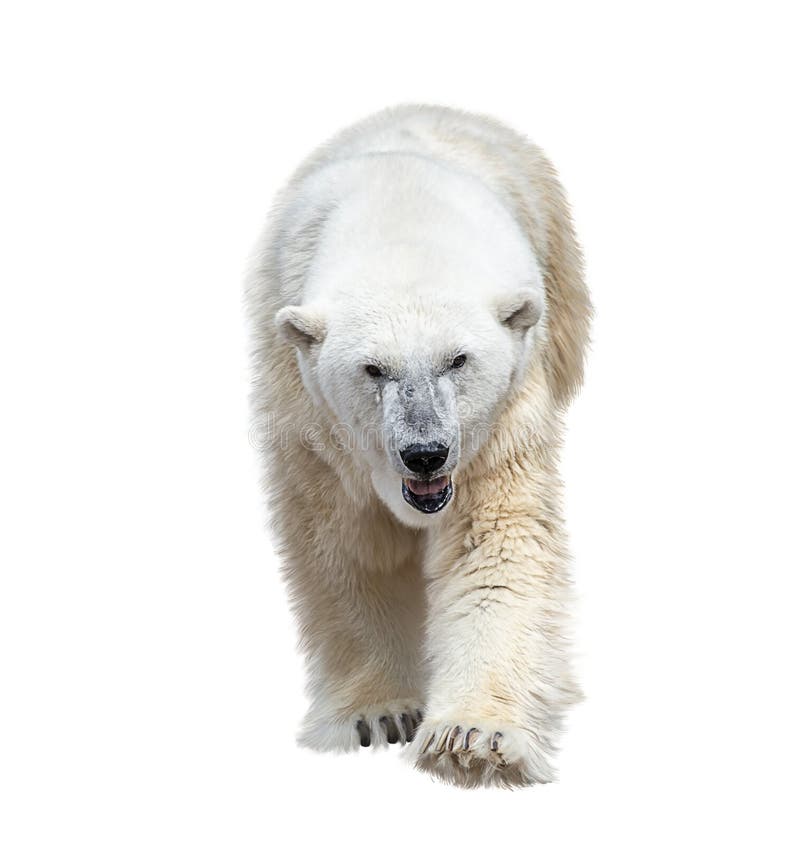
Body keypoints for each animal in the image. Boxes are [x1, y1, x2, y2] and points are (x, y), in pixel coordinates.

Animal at [246, 104, 591, 788]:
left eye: (458, 360)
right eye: (373, 369)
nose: (425, 453)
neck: (403, 218)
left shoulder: (504, 417)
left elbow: (496, 543)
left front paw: (473, 738)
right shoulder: (312, 419)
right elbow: (348, 545)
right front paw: (377, 716)